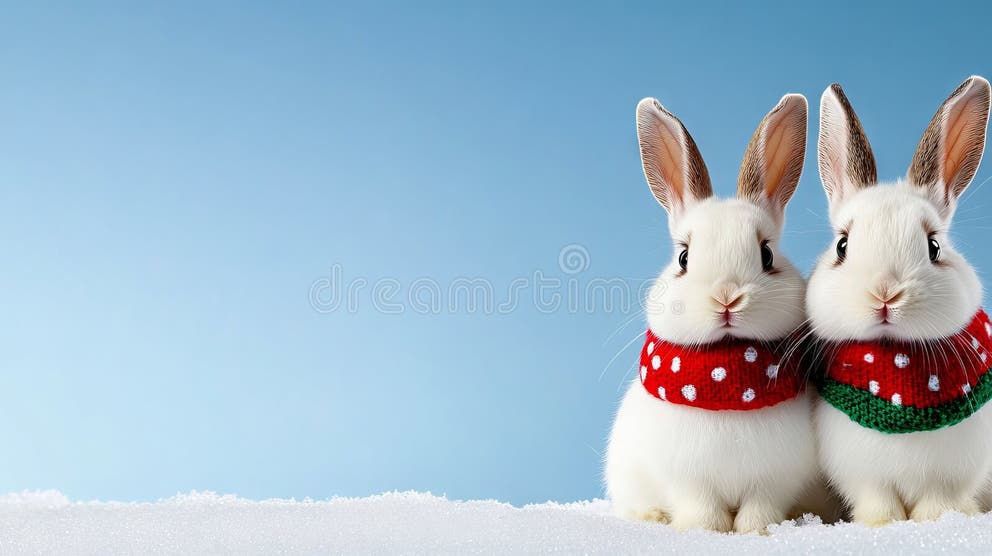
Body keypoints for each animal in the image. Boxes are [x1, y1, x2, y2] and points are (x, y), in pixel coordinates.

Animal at [605, 94, 817, 533]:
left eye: (767, 255)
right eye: (683, 258)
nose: (726, 298)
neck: (727, 380)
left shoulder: (773, 481)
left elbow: (760, 508)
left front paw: (759, 531)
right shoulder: (688, 480)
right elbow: (701, 508)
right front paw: (703, 530)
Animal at [808, 76, 992, 525]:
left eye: (933, 246)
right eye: (842, 246)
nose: (885, 293)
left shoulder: (948, 480)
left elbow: (938, 503)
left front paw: (936, 522)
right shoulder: (866, 479)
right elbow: (879, 504)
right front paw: (880, 524)